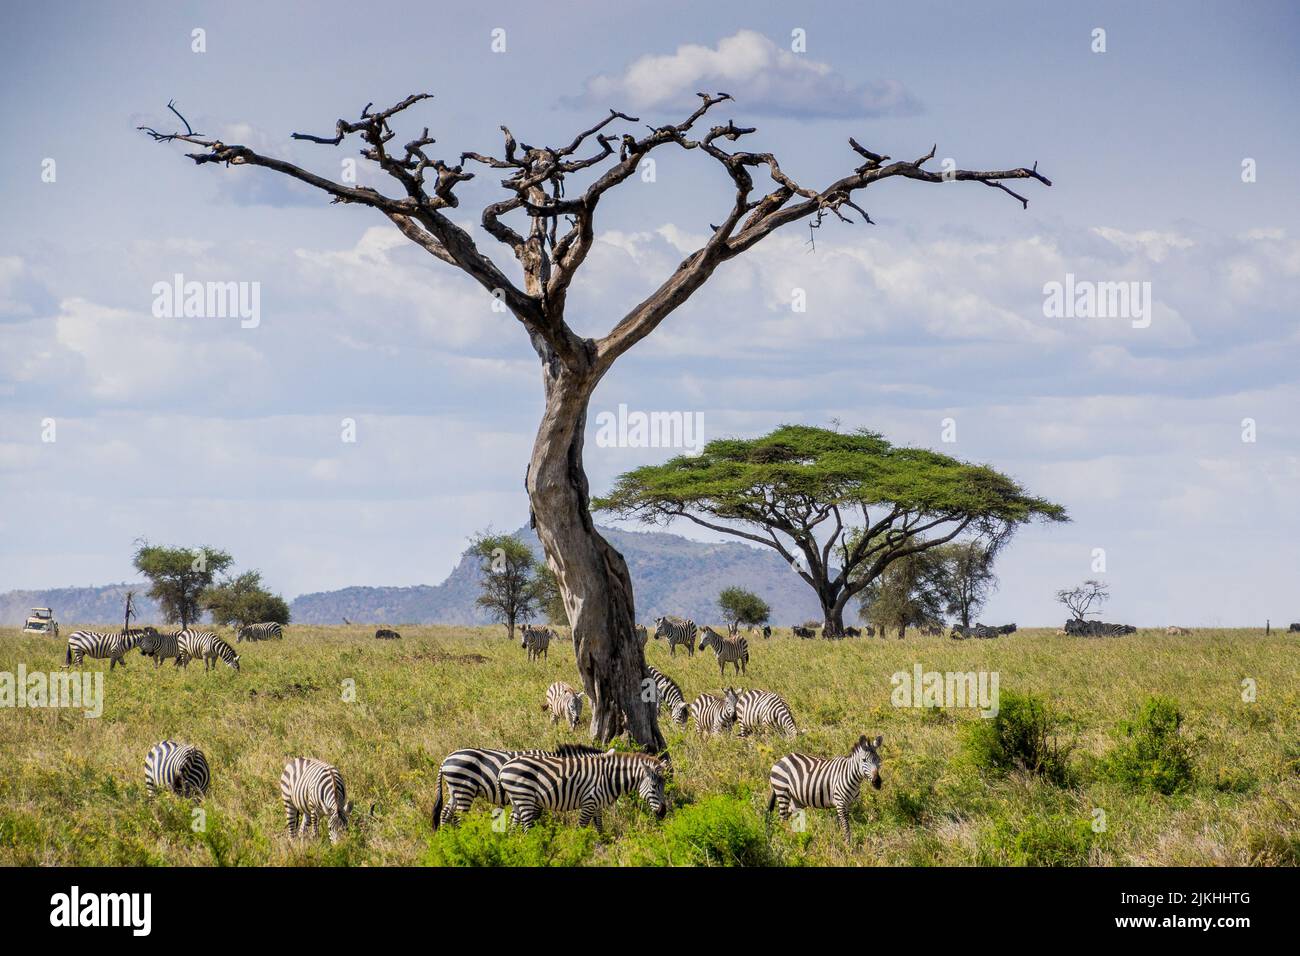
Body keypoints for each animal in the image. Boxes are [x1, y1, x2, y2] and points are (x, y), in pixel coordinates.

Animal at [430, 743, 604, 830]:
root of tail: (446, 760)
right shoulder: (536, 797)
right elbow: (531, 818)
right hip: (464, 789)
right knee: (457, 816)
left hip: (455, 790)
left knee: (445, 813)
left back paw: (445, 838)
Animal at [499, 750, 669, 832]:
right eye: (654, 786)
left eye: (664, 785)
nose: (663, 813)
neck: (608, 777)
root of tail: (504, 767)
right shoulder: (589, 802)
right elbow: (581, 828)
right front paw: (579, 846)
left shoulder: (597, 804)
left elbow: (599, 826)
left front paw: (605, 844)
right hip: (525, 797)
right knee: (526, 827)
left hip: (517, 799)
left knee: (513, 823)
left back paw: (515, 844)